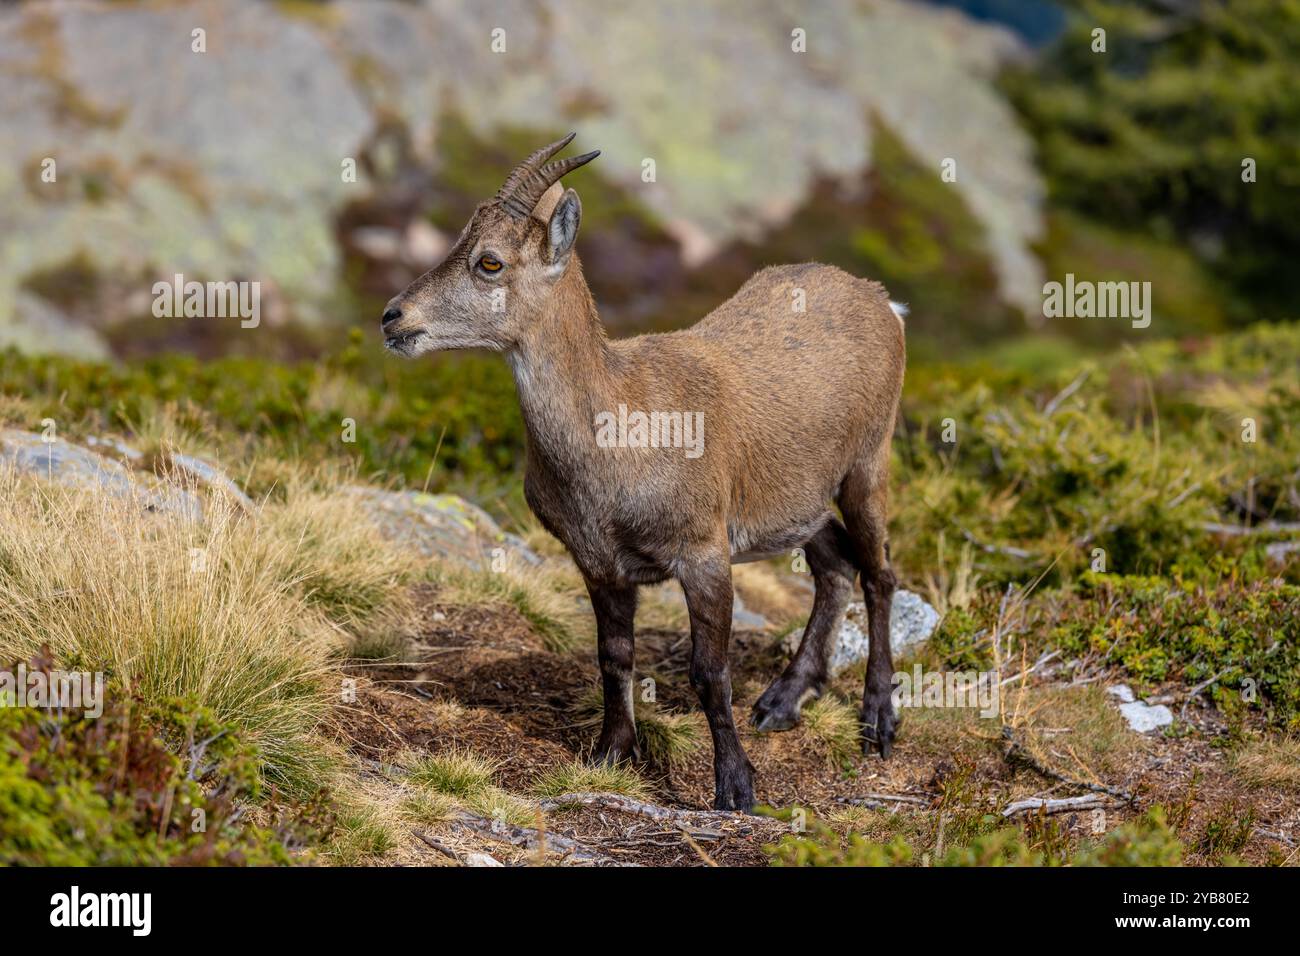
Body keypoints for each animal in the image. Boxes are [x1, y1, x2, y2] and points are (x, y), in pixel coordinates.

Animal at [380, 135, 906, 811]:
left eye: (489, 262)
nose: (393, 316)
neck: (616, 431)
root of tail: (882, 300)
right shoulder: (599, 563)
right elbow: (614, 657)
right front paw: (610, 754)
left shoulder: (703, 552)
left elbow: (709, 672)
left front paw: (735, 786)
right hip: (796, 501)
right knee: (836, 563)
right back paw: (782, 703)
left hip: (867, 464)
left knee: (879, 574)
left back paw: (878, 720)